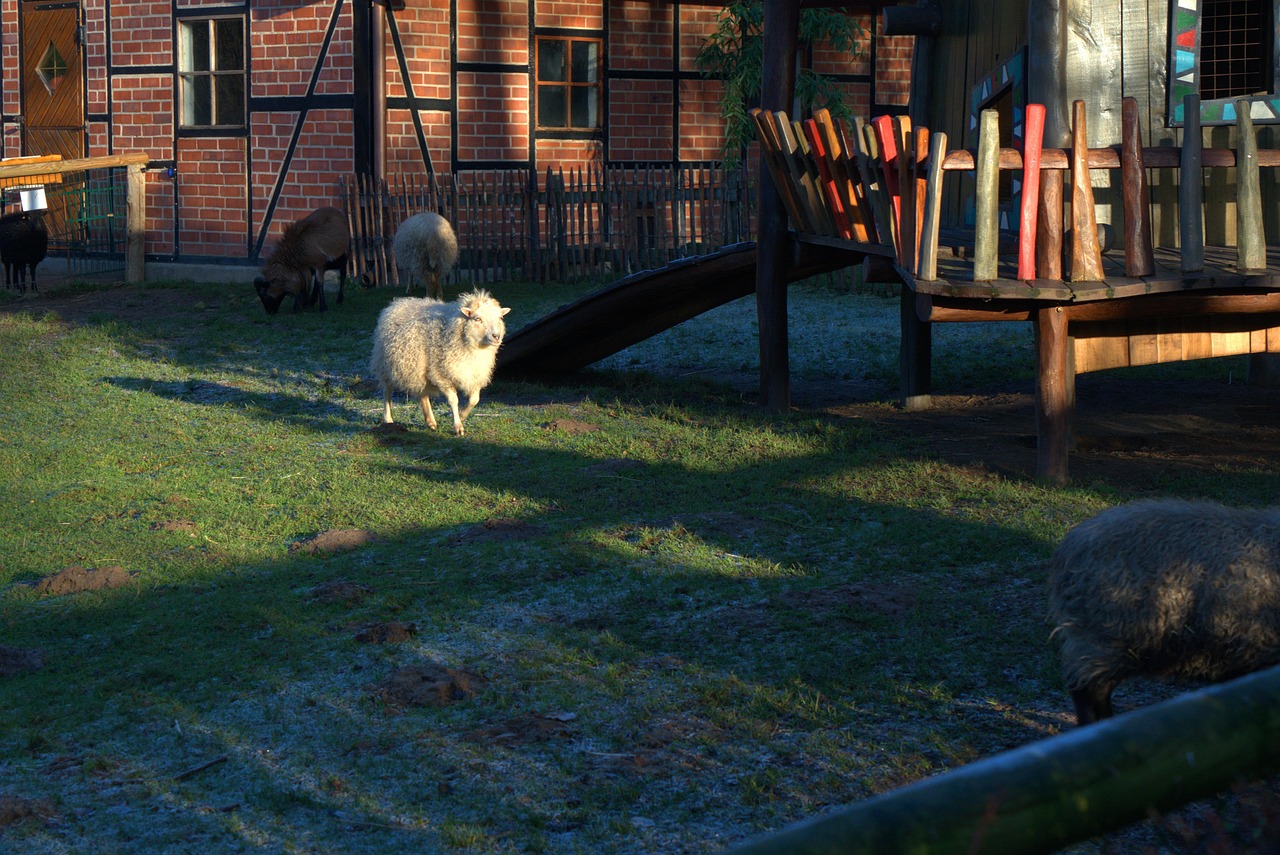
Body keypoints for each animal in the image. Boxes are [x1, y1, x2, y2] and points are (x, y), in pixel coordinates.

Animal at [369, 288, 510, 435]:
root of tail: (397, 303)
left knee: (423, 393)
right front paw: (458, 426)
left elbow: (475, 400)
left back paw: (430, 421)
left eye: (500, 318)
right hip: (386, 366)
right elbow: (453, 400)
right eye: (477, 319)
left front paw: (462, 415)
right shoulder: (441, 376)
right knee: (387, 392)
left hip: (419, 369)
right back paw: (388, 419)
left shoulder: (474, 375)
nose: (496, 336)